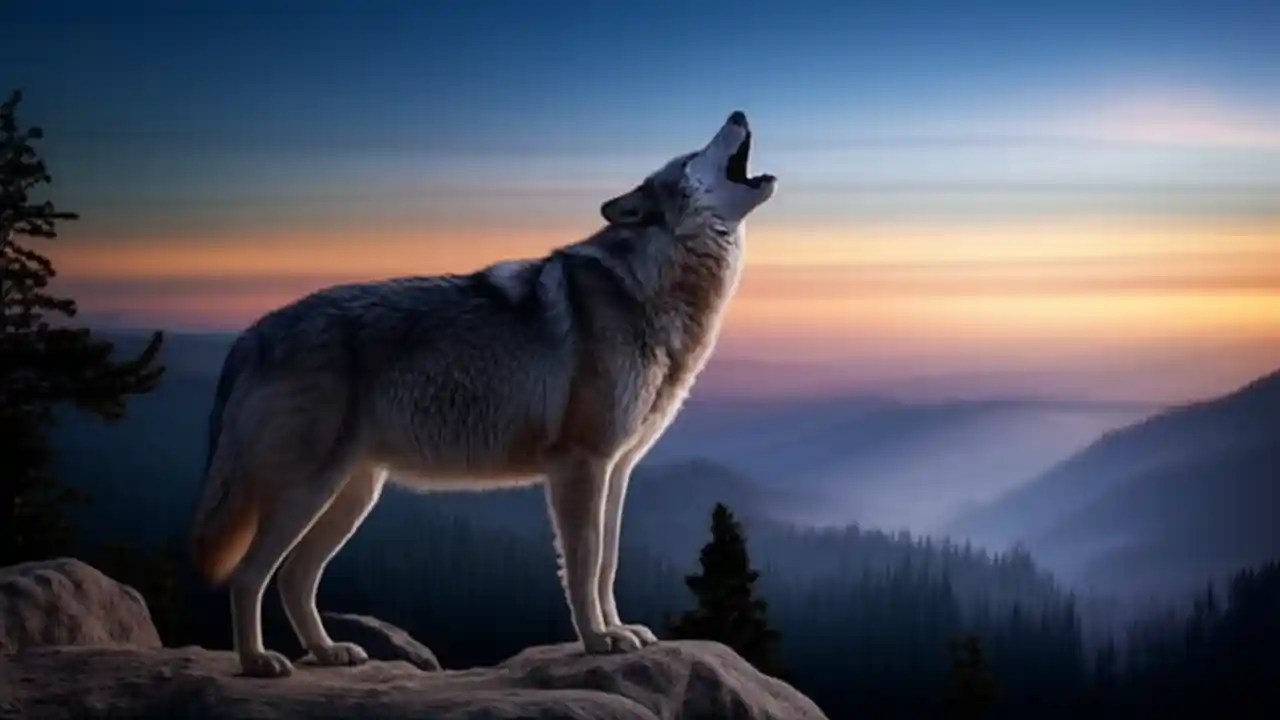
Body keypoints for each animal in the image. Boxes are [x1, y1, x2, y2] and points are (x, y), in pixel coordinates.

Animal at [188, 111, 777, 677]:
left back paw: (328, 651)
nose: (738, 111)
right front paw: (597, 640)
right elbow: (583, 564)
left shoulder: (618, 469)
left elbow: (608, 563)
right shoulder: (581, 465)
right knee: (249, 574)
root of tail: (255, 331)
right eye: (694, 154)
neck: (652, 284)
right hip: (307, 491)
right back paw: (257, 662)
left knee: (294, 576)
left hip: (351, 496)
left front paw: (619, 630)